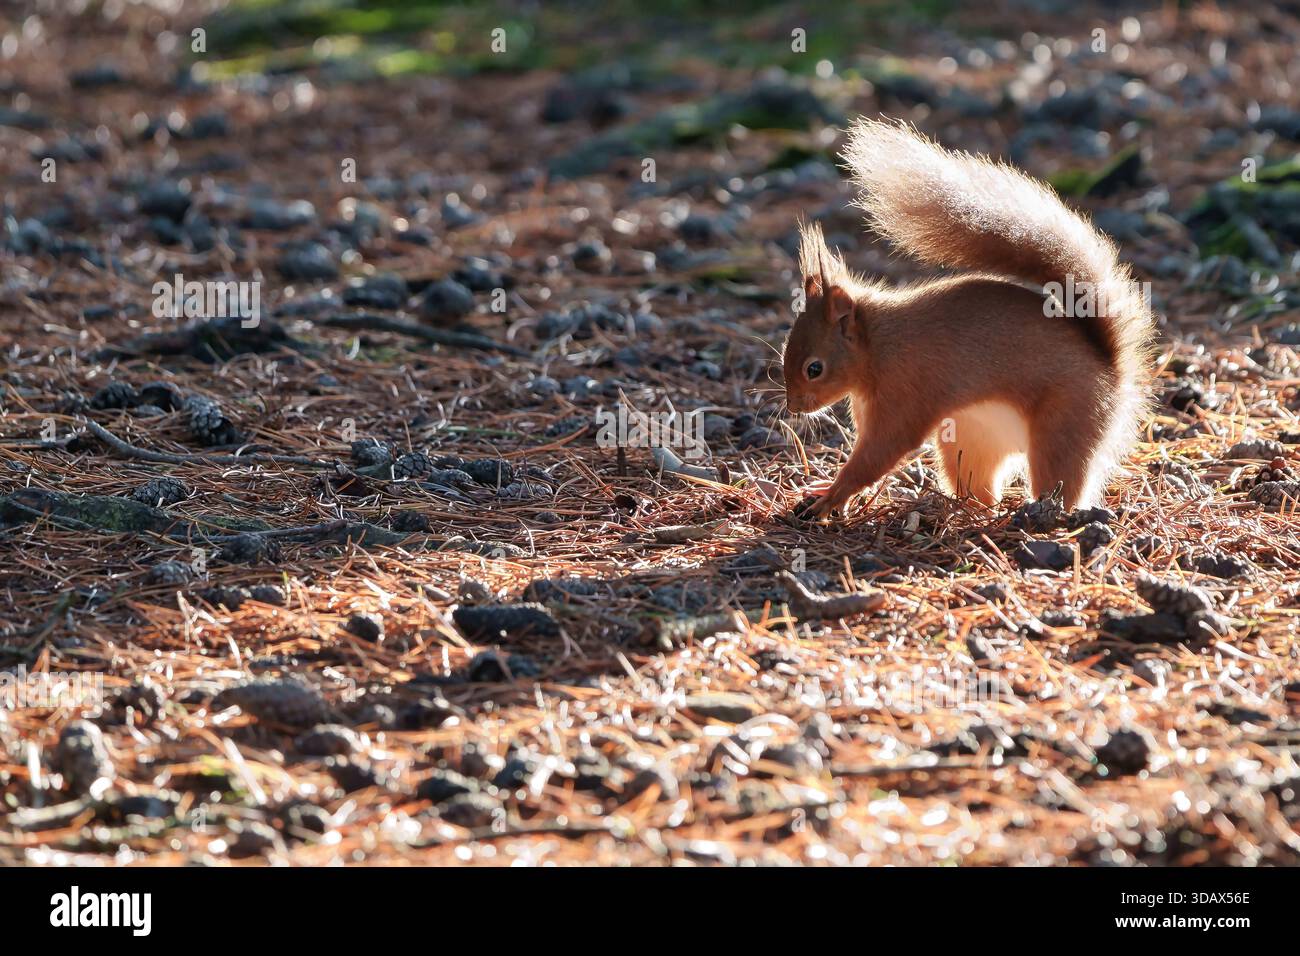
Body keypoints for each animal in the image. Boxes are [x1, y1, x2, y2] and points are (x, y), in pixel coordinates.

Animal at [783, 118, 1156, 519]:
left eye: (814, 368)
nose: (793, 408)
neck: (878, 347)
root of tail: (1111, 371)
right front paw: (822, 488)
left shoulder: (906, 390)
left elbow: (881, 452)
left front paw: (829, 499)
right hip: (970, 439)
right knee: (981, 491)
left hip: (1065, 426)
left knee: (1062, 480)